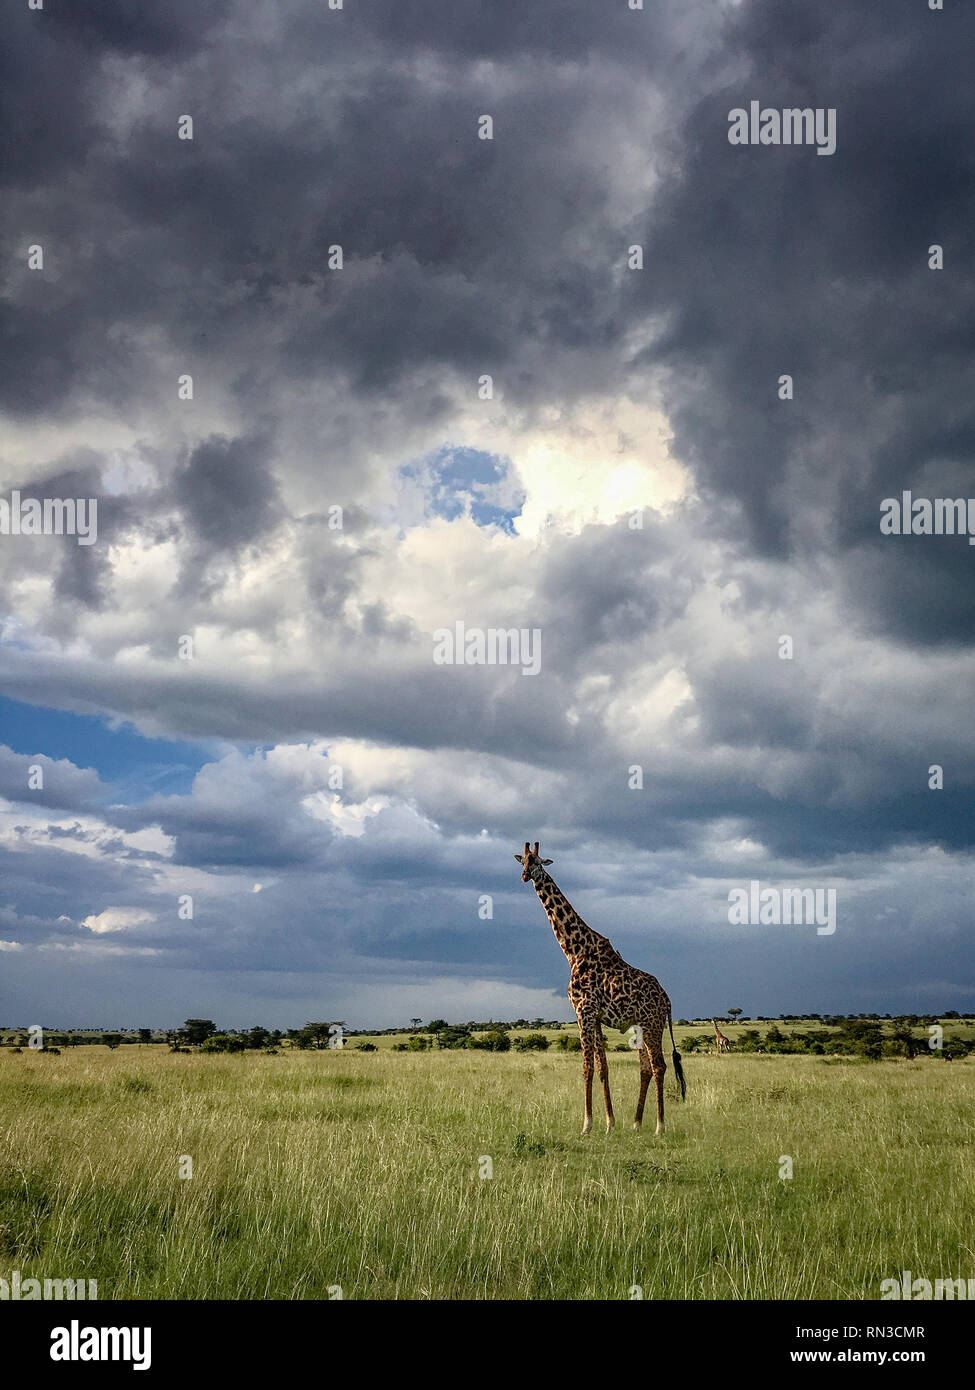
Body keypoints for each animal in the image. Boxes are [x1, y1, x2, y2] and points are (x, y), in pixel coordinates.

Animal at [516, 841, 685, 1136]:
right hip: (640, 1026)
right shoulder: (593, 1016)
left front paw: (586, 1125)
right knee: (645, 1068)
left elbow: (586, 1067)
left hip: (652, 1024)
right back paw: (636, 1123)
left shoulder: (583, 1011)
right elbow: (603, 1067)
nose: (525, 876)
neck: (573, 950)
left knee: (659, 1066)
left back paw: (659, 1126)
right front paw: (609, 1122)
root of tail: (667, 1000)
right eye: (522, 861)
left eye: (536, 861)